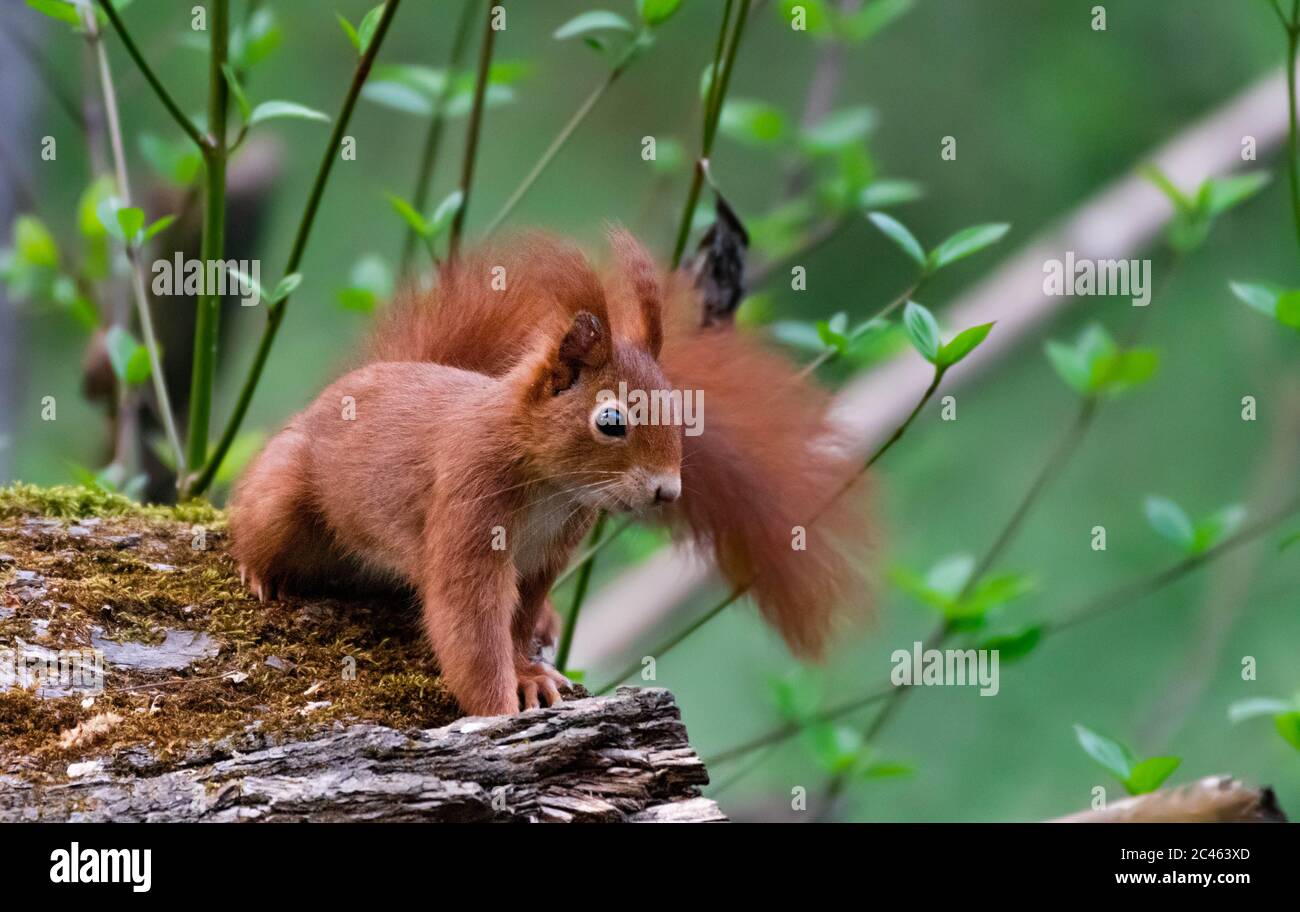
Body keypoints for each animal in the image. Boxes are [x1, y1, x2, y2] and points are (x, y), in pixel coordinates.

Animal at [228, 229, 870, 717]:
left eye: (681, 408)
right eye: (611, 421)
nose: (668, 490)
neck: (552, 486)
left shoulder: (547, 555)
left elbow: (517, 619)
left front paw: (530, 674)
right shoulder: (470, 501)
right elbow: (470, 619)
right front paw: (498, 708)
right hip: (285, 495)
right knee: (257, 525)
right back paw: (261, 573)